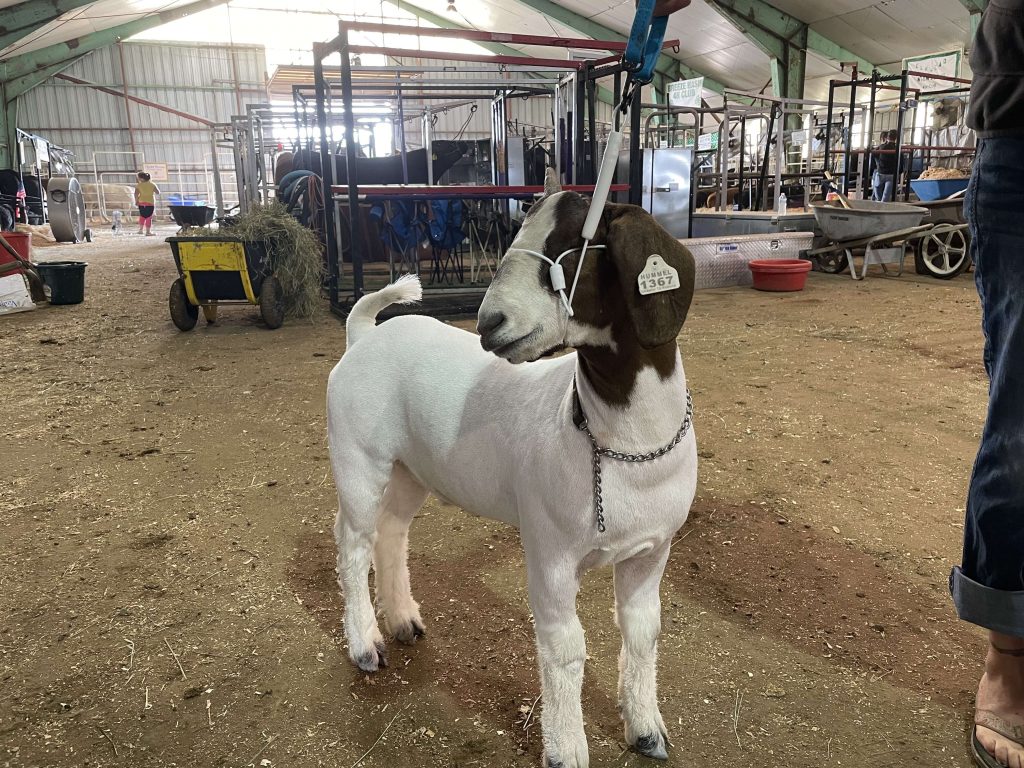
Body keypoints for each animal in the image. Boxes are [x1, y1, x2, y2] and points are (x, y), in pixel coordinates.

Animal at [327, 173, 697, 767]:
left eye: (569, 246)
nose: (489, 323)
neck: (616, 441)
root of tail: (363, 336)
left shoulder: (652, 551)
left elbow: (644, 632)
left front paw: (646, 731)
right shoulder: (550, 553)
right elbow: (565, 649)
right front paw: (566, 749)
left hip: (412, 468)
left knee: (392, 531)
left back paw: (404, 619)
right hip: (359, 456)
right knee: (353, 542)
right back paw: (365, 644)